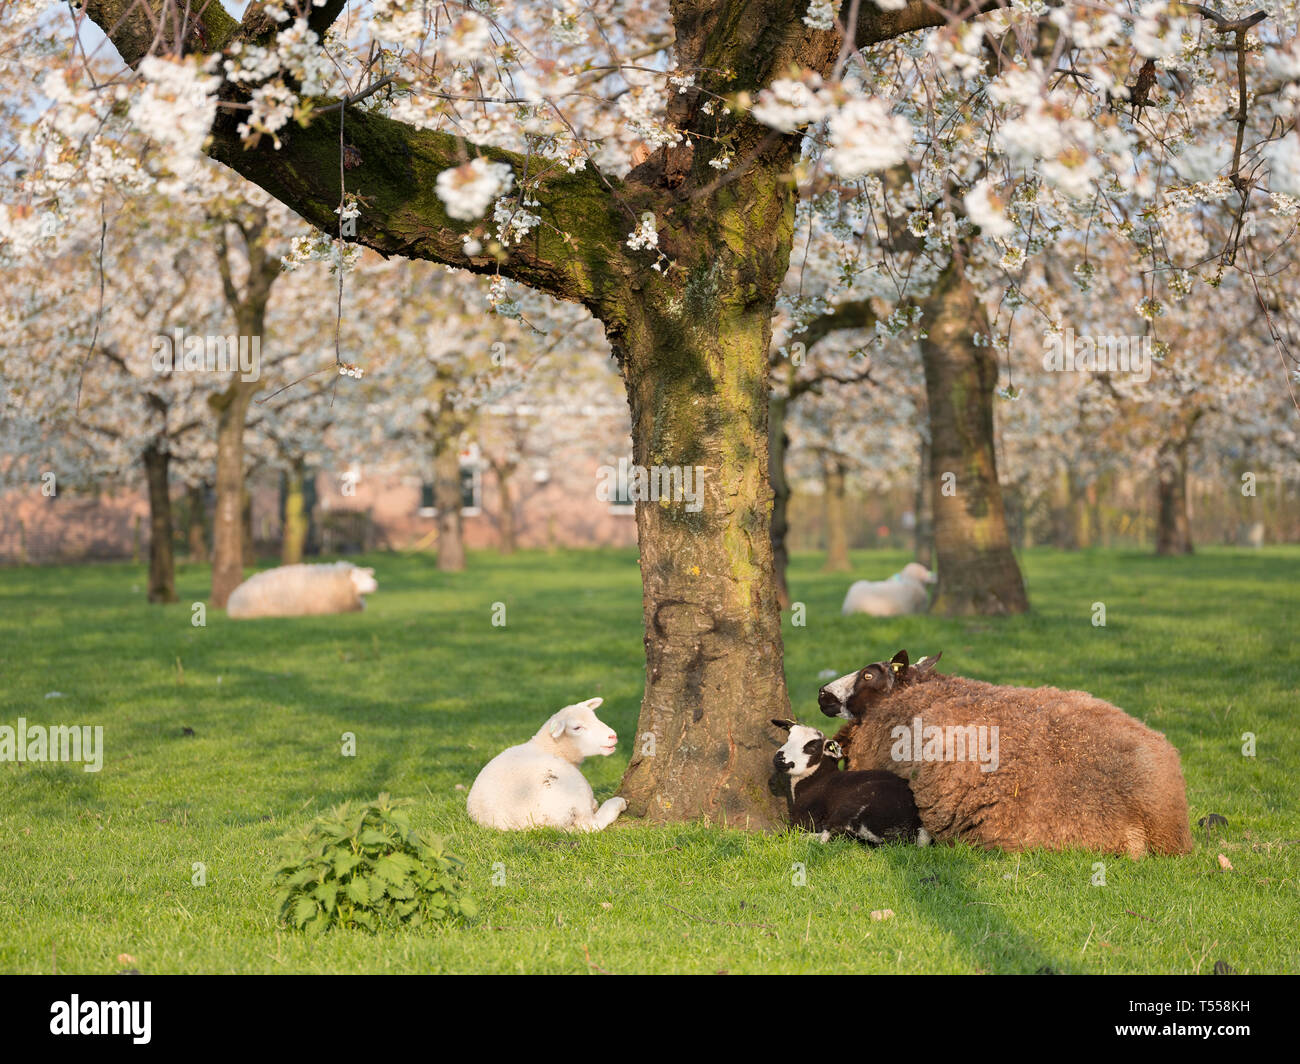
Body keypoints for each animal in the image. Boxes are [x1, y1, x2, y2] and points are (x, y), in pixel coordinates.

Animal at [466, 697, 627, 832]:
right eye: (577, 728)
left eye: (595, 718)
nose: (612, 736)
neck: (548, 747)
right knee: (590, 825)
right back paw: (616, 803)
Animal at [770, 718, 930, 846]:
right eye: (788, 738)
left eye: (812, 747)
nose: (779, 757)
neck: (816, 779)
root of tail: (917, 828)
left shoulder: (804, 817)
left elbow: (791, 831)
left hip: (853, 804)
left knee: (828, 836)